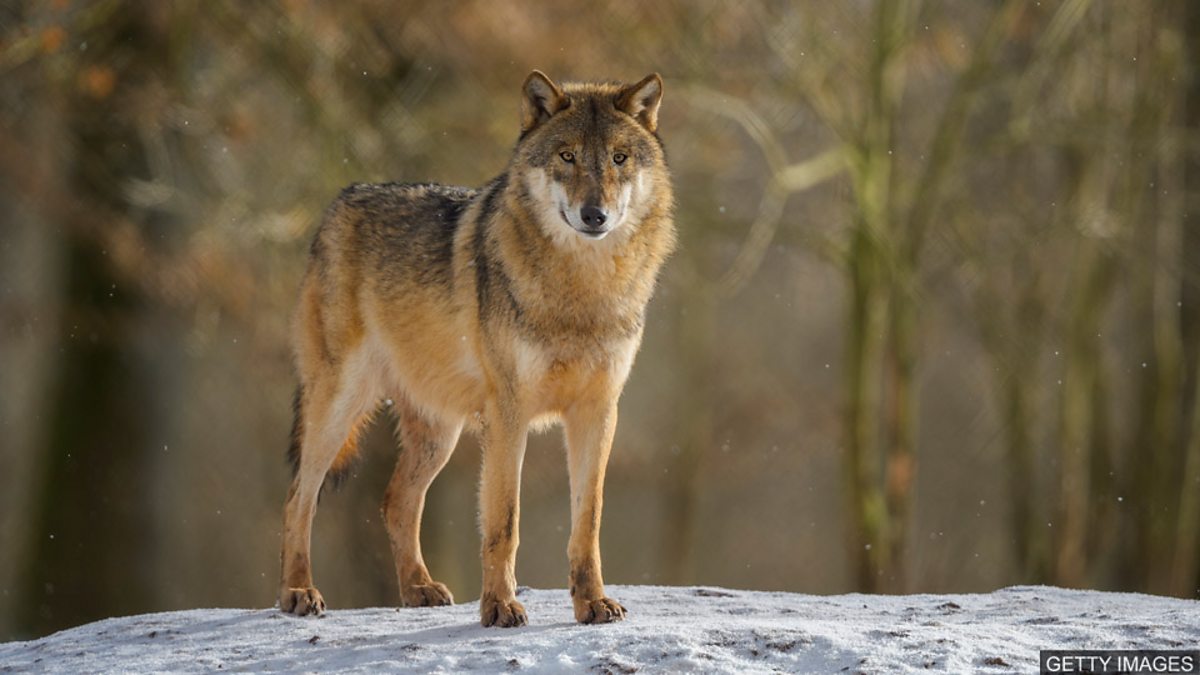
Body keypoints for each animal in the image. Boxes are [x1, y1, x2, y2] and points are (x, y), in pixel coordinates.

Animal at [279, 71, 676, 627]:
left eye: (619, 158)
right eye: (567, 156)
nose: (594, 215)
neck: (580, 292)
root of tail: (342, 199)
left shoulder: (598, 411)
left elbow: (588, 521)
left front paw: (592, 603)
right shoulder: (508, 414)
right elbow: (504, 522)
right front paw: (500, 606)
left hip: (438, 433)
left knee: (396, 501)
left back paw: (418, 588)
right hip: (339, 406)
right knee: (299, 497)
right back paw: (298, 592)